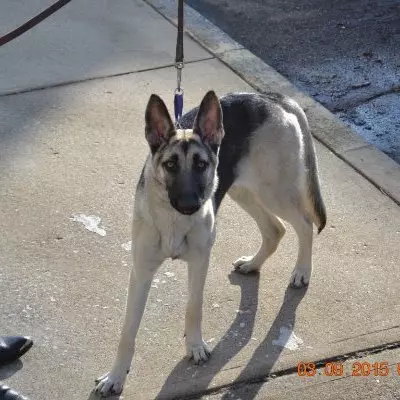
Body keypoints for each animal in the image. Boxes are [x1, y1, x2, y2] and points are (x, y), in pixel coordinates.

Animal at [95, 91, 326, 396]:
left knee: (304, 225)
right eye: (170, 165)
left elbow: (194, 306)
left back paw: (301, 271)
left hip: (273, 190)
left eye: (201, 164)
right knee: (275, 229)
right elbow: (128, 331)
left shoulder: (199, 263)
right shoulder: (141, 273)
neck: (173, 221)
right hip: (243, 190)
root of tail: (270, 97)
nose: (190, 205)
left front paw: (194, 346)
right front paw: (116, 376)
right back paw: (253, 264)